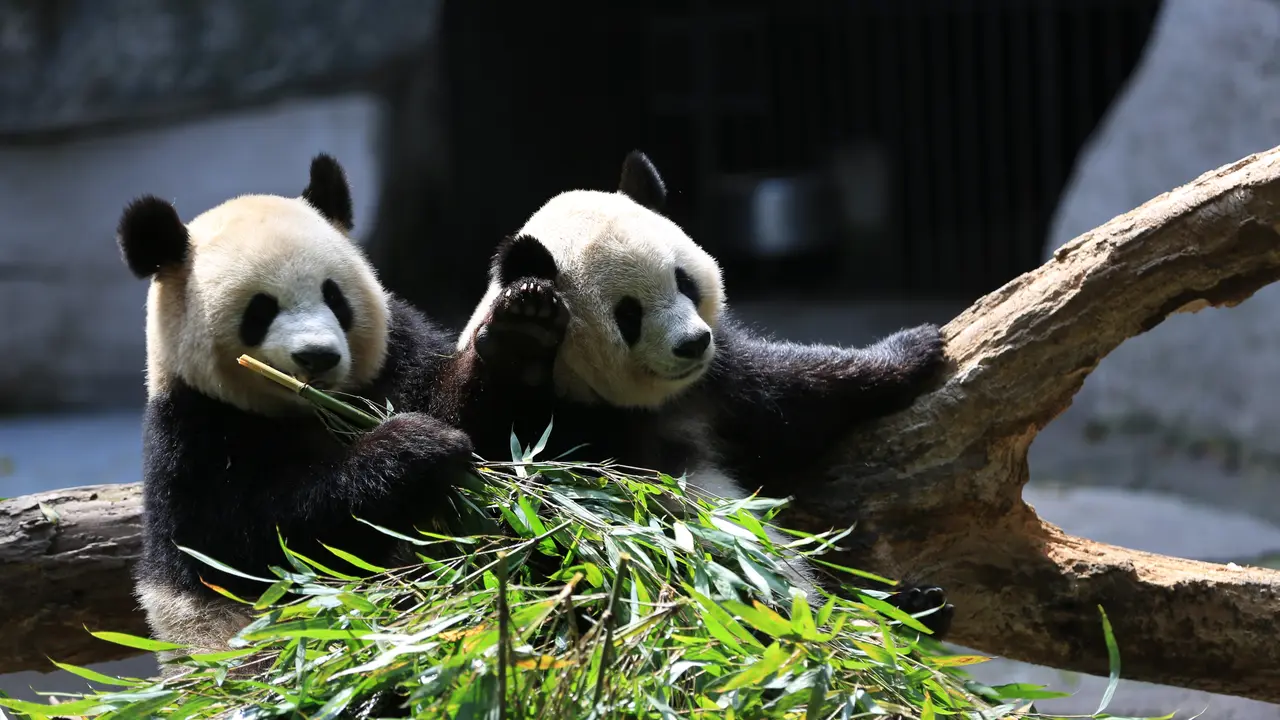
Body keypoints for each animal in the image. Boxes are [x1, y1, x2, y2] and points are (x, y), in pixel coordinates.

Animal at [119, 154, 475, 674]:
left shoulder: (398, 360)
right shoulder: (193, 436)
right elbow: (270, 539)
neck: (311, 410)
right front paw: (414, 446)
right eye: (260, 310)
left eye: (335, 297)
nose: (318, 357)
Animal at [451, 150, 955, 638]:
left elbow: (796, 398)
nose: (693, 343)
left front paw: (913, 348)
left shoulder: (715, 386)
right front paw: (523, 333)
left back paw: (916, 606)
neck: (627, 402)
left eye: (684, 282)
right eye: (628, 315)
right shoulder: (553, 429)